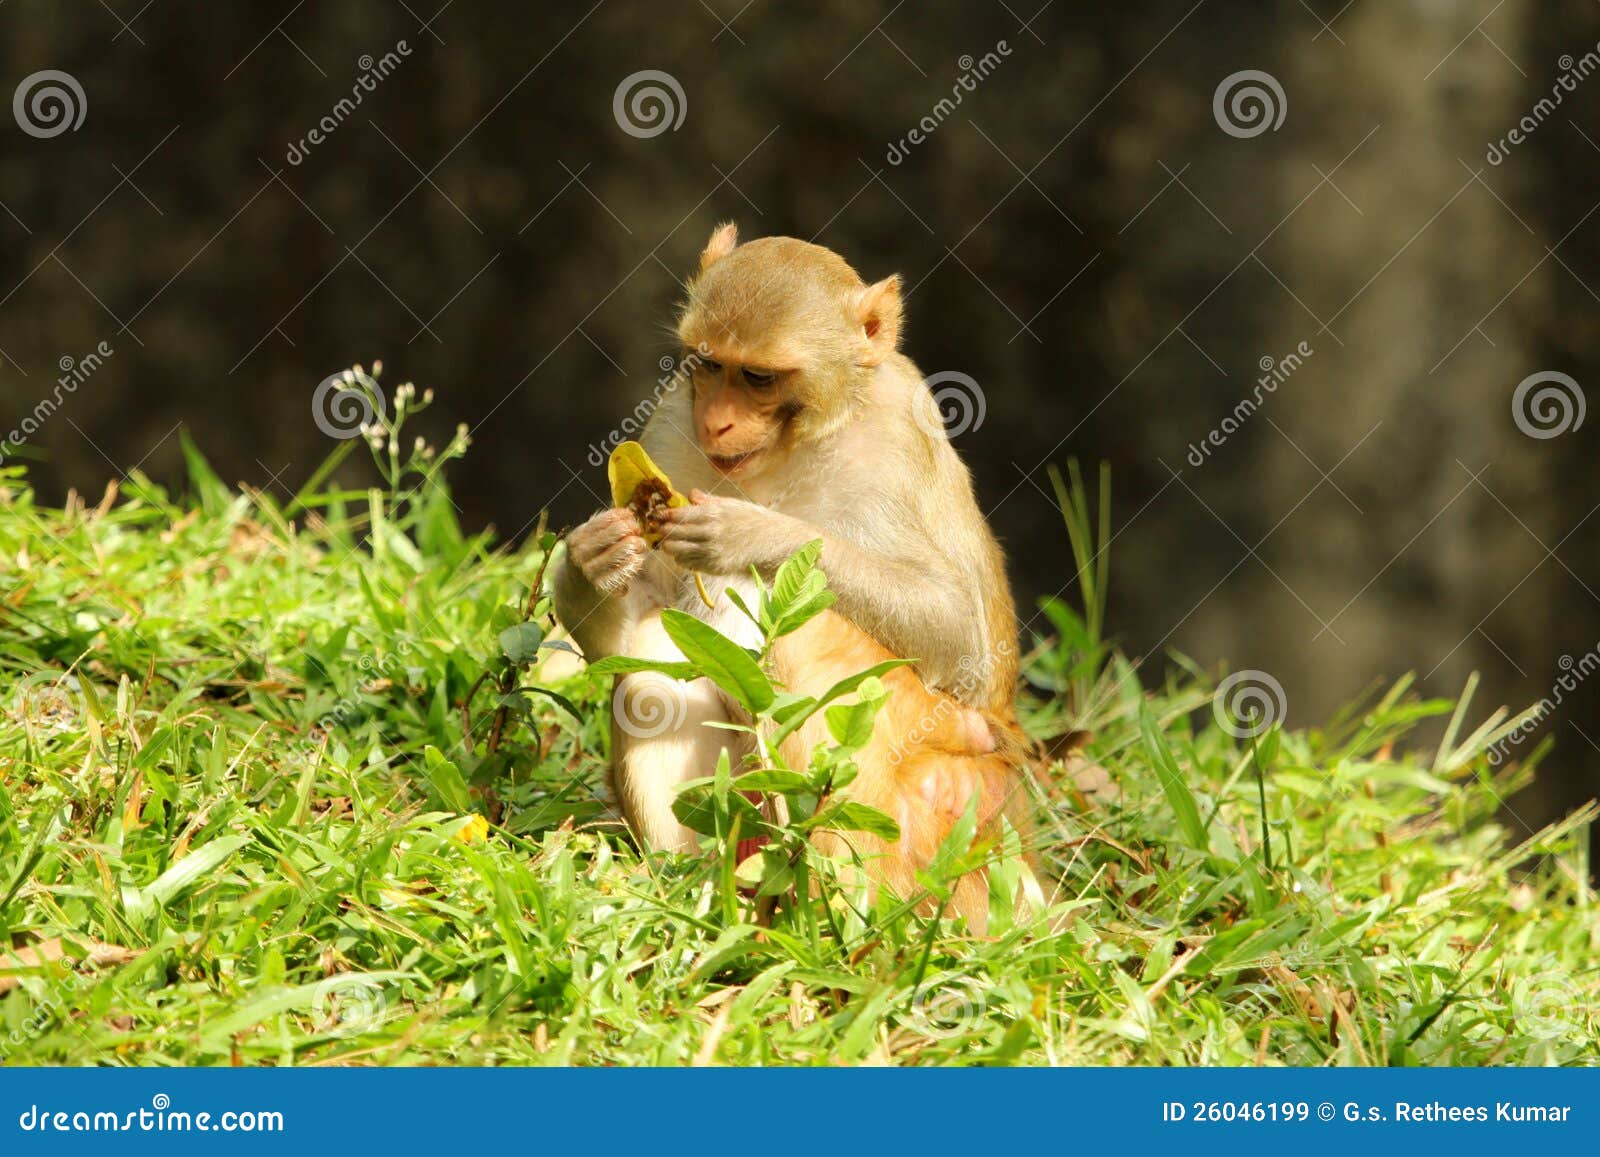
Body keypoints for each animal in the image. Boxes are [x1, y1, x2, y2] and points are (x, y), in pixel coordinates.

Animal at [551, 223, 1031, 928]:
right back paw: (694, 891)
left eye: (757, 377)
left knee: (794, 632)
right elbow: (640, 619)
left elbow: (956, 632)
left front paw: (749, 535)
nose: (716, 421)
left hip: (940, 773)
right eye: (707, 364)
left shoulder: (896, 437)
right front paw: (592, 559)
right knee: (655, 667)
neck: (799, 442)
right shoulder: (670, 422)